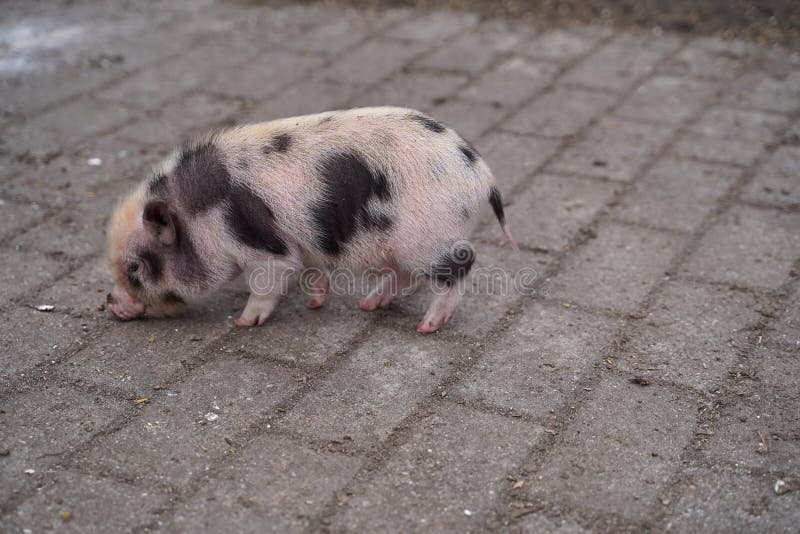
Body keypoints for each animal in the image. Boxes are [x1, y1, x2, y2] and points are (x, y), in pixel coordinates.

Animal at [106, 107, 518, 333]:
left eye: (135, 267)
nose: (110, 301)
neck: (198, 215)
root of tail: (481, 173)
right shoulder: (306, 240)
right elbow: (314, 268)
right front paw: (315, 303)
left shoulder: (262, 245)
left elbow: (269, 281)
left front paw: (244, 322)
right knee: (404, 274)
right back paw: (369, 305)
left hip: (430, 237)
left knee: (459, 267)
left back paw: (426, 327)